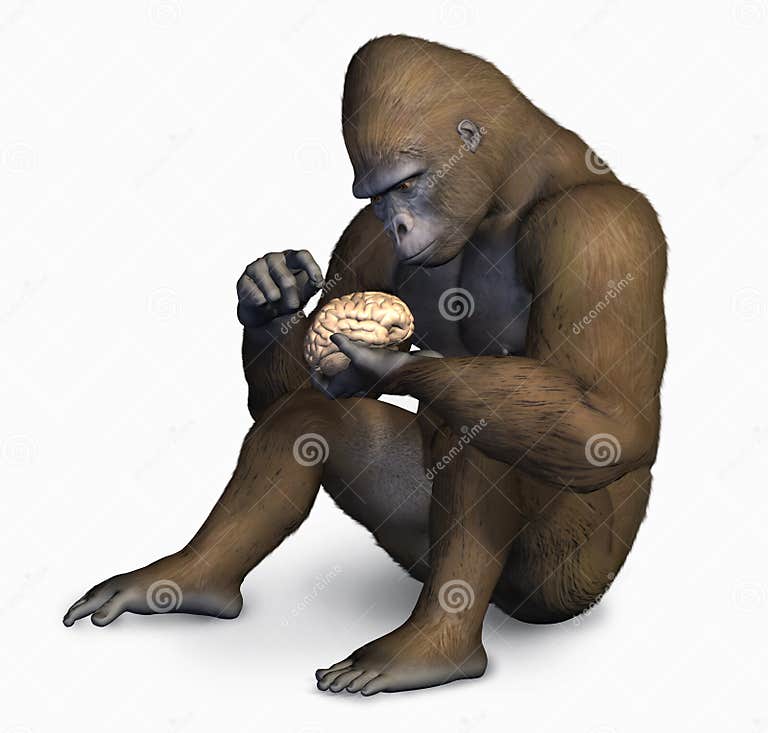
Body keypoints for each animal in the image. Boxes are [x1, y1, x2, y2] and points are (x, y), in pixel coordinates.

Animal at [64, 35, 667, 696]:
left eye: (407, 184)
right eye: (377, 197)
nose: (397, 223)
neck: (509, 197)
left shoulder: (600, 231)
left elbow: (611, 427)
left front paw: (379, 362)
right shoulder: (367, 236)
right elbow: (292, 394)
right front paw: (271, 293)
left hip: (570, 570)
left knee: (493, 425)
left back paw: (435, 651)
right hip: (416, 542)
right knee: (314, 418)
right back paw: (188, 585)